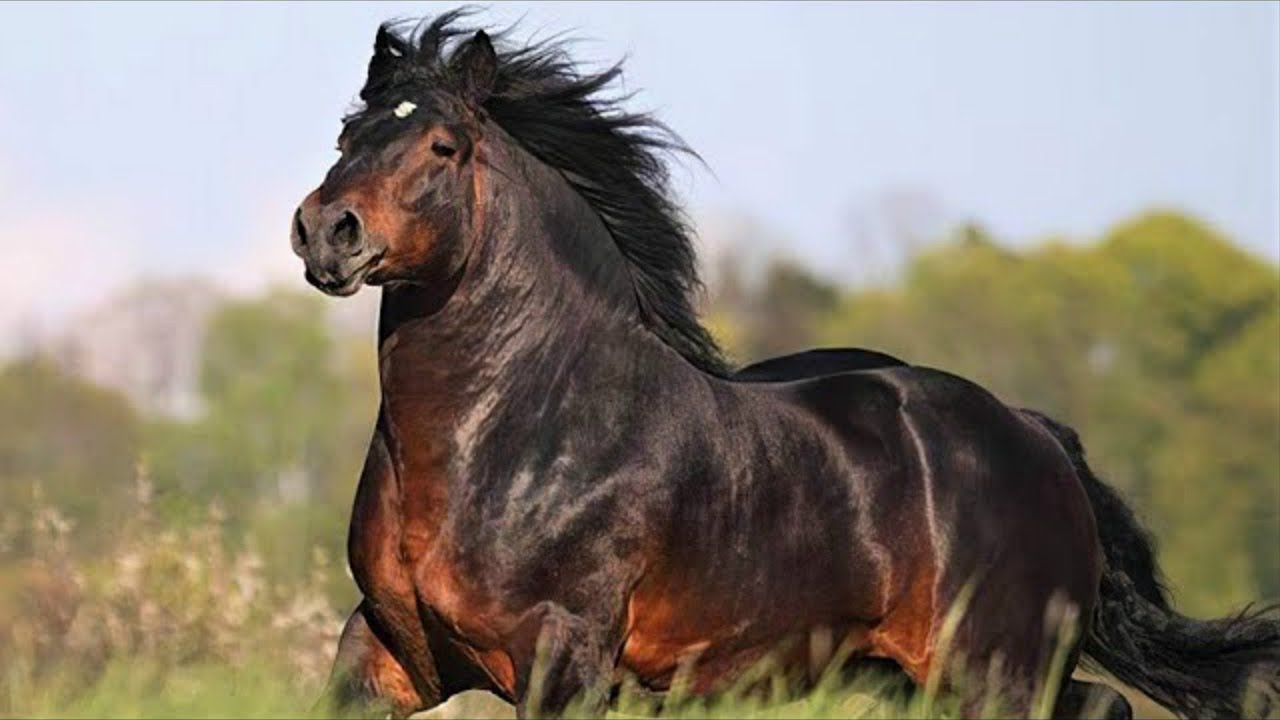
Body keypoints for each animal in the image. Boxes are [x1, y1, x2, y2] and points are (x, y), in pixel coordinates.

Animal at [290, 12, 1280, 718]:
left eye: (443, 147)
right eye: (345, 134)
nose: (325, 231)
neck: (513, 436)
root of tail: (1034, 436)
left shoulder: (563, 661)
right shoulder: (386, 651)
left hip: (995, 673)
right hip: (909, 677)